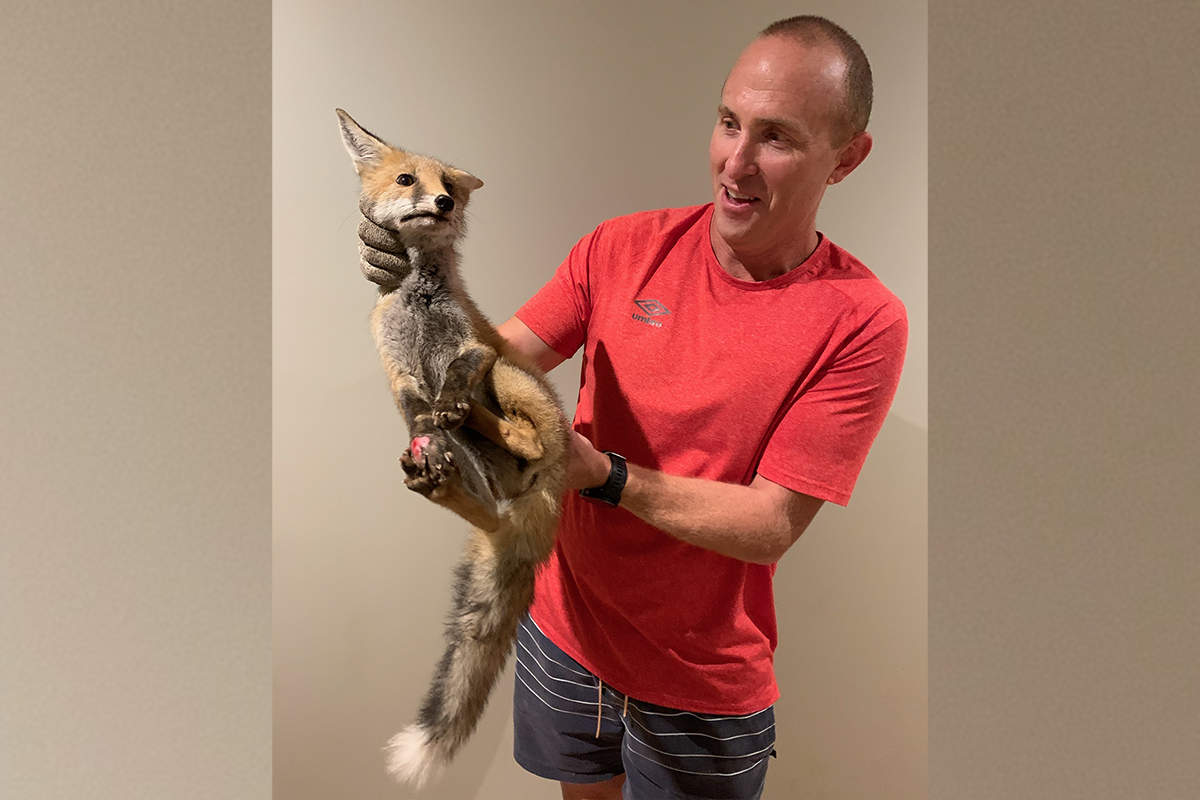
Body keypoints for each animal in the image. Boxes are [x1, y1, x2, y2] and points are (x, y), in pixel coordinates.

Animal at [336, 108, 569, 787]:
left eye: (452, 189)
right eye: (407, 179)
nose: (441, 202)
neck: (419, 303)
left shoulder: (474, 346)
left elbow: (463, 371)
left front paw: (453, 402)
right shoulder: (397, 373)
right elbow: (418, 413)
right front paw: (430, 437)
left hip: (519, 385)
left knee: (524, 436)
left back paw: (492, 426)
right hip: (492, 488)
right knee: (487, 506)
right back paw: (438, 476)